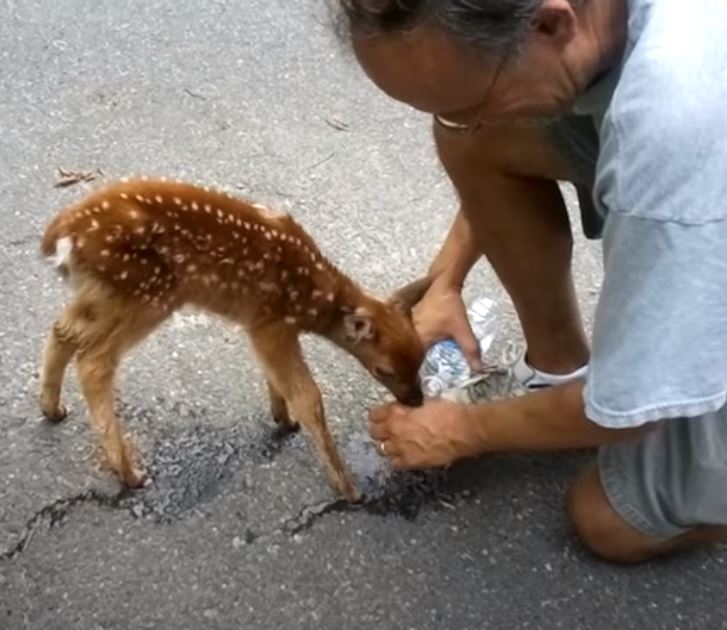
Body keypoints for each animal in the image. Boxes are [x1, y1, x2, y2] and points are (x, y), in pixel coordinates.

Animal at [39, 177, 429, 501]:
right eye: (384, 370)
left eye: (422, 358)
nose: (417, 400)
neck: (312, 297)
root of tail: (62, 234)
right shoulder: (269, 321)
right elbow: (308, 397)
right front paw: (347, 487)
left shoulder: (262, 324)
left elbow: (276, 378)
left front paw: (282, 418)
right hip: (147, 294)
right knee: (94, 361)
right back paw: (130, 473)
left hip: (105, 294)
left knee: (62, 331)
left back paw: (52, 409)